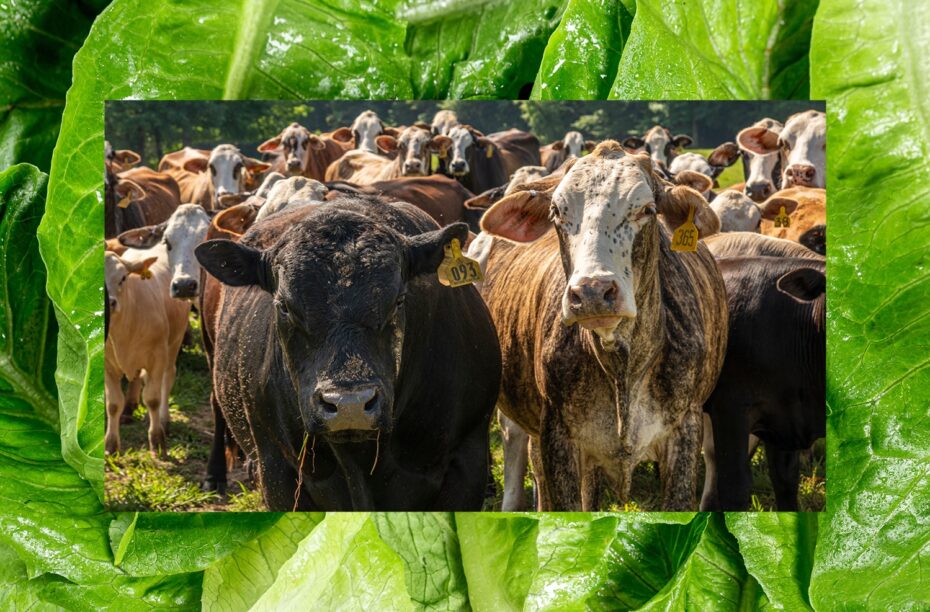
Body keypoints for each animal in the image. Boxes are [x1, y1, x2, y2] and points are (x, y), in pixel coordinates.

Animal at [104, 247, 190, 455]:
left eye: (123, 278)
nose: (110, 303)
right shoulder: (107, 365)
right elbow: (113, 404)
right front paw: (111, 445)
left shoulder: (157, 358)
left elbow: (152, 399)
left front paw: (157, 439)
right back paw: (129, 408)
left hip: (174, 343)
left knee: (168, 378)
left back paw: (164, 420)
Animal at [476, 142, 728, 510]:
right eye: (556, 213)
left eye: (647, 210)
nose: (593, 291)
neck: (622, 369)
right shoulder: (558, 437)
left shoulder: (685, 431)